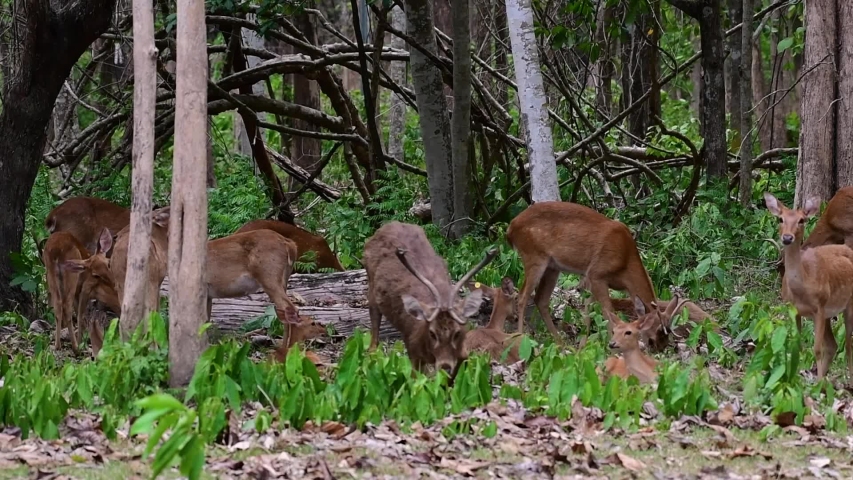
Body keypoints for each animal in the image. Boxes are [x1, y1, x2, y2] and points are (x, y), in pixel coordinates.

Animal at [364, 221, 498, 375]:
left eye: (457, 333)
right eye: (432, 333)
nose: (445, 366)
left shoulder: (463, 353)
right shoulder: (413, 349)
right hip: (371, 285)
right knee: (374, 328)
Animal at [506, 201, 657, 343]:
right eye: (656, 331)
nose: (656, 348)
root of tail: (510, 229)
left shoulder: (589, 278)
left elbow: (587, 312)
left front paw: (582, 346)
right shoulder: (597, 274)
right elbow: (607, 313)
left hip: (552, 267)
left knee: (540, 299)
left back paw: (561, 345)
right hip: (533, 256)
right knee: (522, 296)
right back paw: (520, 338)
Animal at [764, 192, 853, 379]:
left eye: (801, 220)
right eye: (780, 219)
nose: (787, 237)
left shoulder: (820, 308)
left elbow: (817, 349)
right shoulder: (794, 310)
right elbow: (797, 345)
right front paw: (795, 379)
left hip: (848, 305)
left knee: (849, 344)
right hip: (828, 314)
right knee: (833, 345)